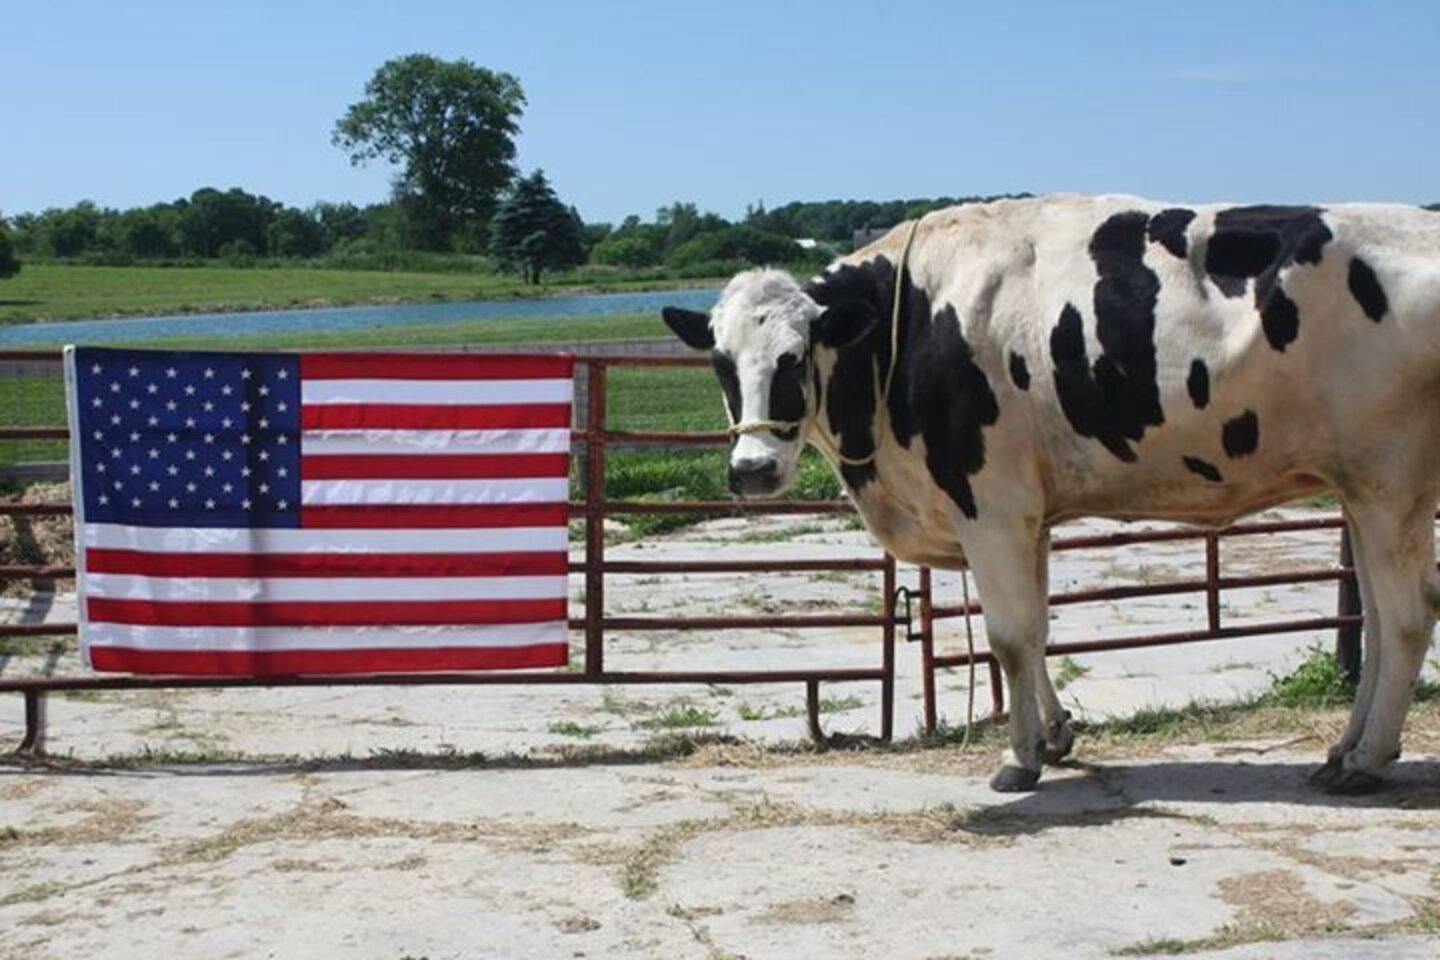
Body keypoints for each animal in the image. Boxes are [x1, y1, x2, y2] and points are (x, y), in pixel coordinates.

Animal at [661, 194, 1440, 794]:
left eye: (794, 359)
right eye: (721, 362)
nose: (752, 468)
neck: (909, 322)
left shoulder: (992, 507)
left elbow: (1008, 636)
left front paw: (1019, 759)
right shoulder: (1028, 514)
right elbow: (1035, 629)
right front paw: (1057, 736)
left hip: (1388, 480)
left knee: (1405, 616)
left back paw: (1364, 761)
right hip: (1365, 491)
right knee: (1377, 617)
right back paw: (1346, 749)